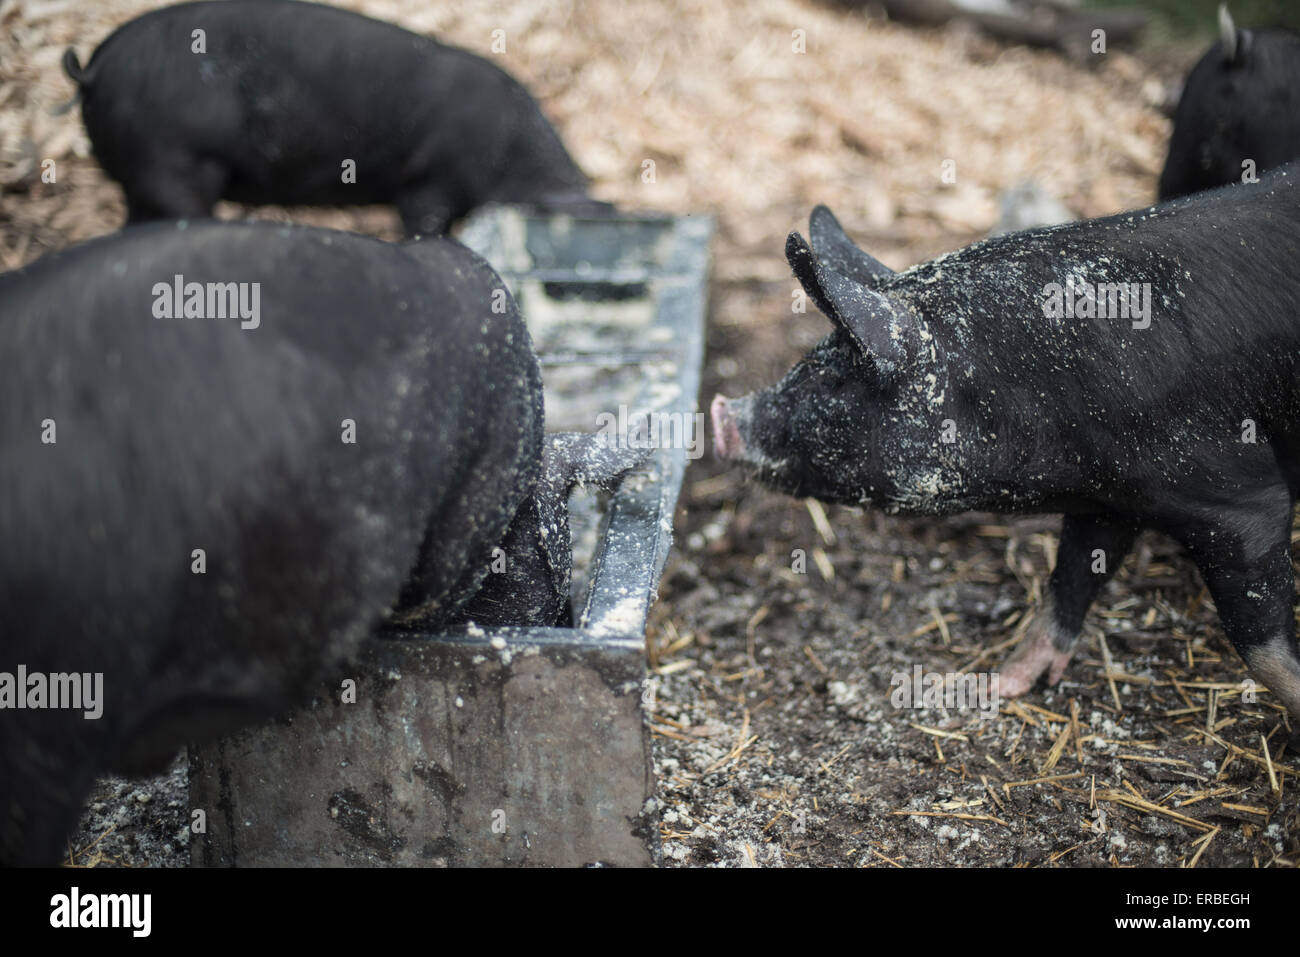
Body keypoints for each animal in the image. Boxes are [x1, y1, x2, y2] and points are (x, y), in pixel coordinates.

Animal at [712, 171, 1300, 726]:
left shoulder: (1237, 496)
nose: (721, 413)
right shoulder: (1114, 496)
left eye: (834, 379)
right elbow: (1071, 578)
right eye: (807, 361)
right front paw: (1000, 684)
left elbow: (1260, 647)